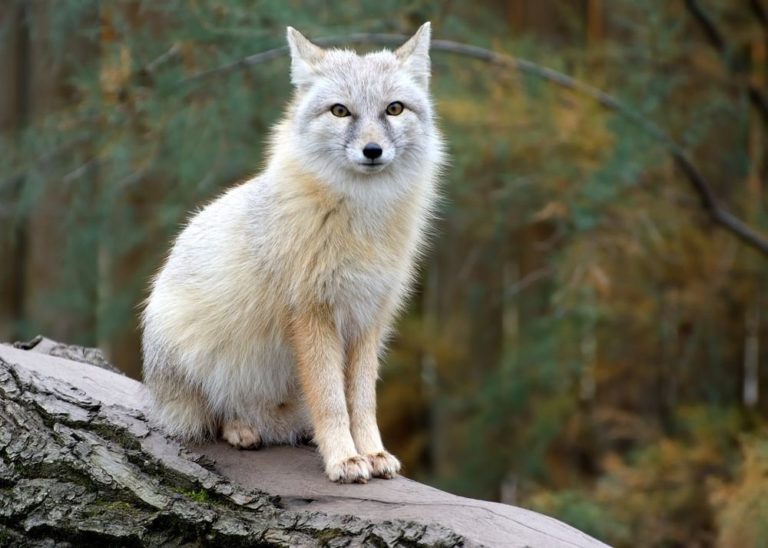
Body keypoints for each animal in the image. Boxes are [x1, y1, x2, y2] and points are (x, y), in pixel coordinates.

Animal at [141, 22, 445, 484]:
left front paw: (371, 452)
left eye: (394, 109)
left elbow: (362, 401)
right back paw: (242, 428)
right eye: (340, 111)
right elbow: (331, 401)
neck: (362, 225)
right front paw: (343, 459)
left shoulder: (368, 318)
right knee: (212, 415)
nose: (372, 151)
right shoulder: (311, 313)